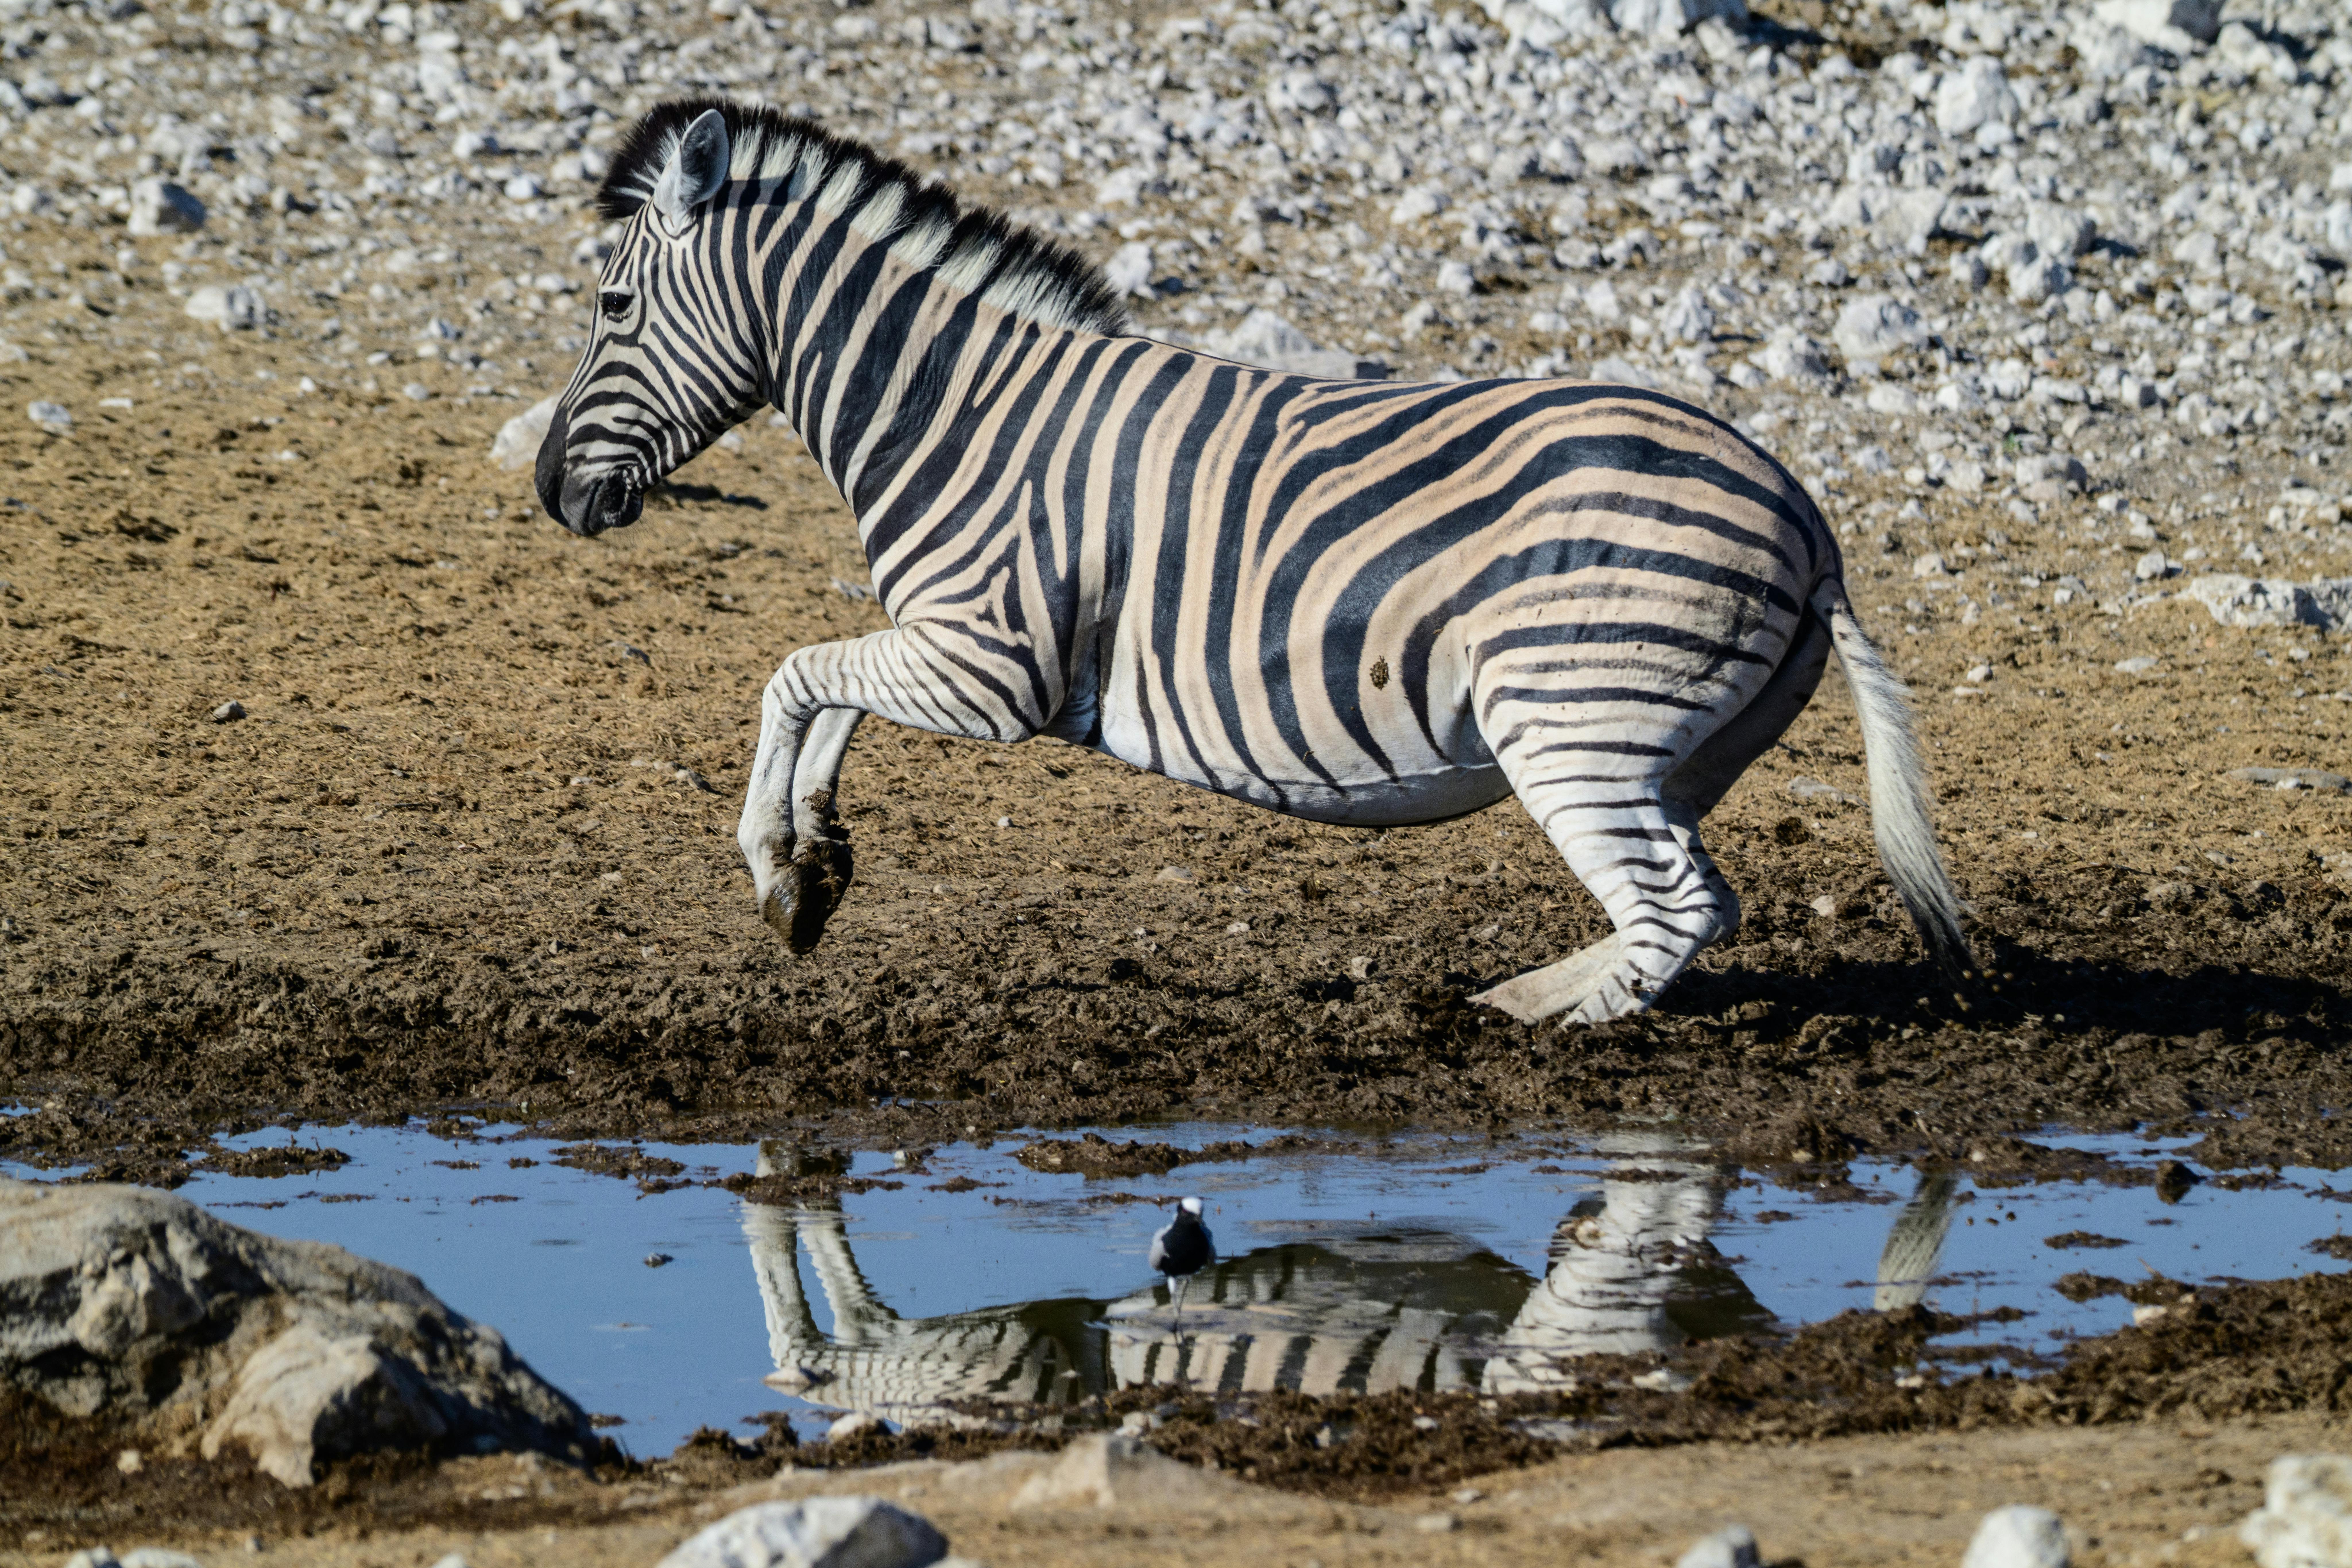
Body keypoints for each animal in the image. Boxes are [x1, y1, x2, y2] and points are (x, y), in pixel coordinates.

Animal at [535, 97, 1977, 1023]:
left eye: (609, 305)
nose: (550, 491)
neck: (960, 409)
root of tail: (1803, 510)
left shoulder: (992, 666)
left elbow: (792, 675)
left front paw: (777, 870)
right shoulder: (940, 646)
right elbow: (829, 692)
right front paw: (817, 868)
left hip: (1568, 718)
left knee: (1678, 911)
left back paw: (1522, 1014)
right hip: (1671, 748)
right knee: (1674, 909)